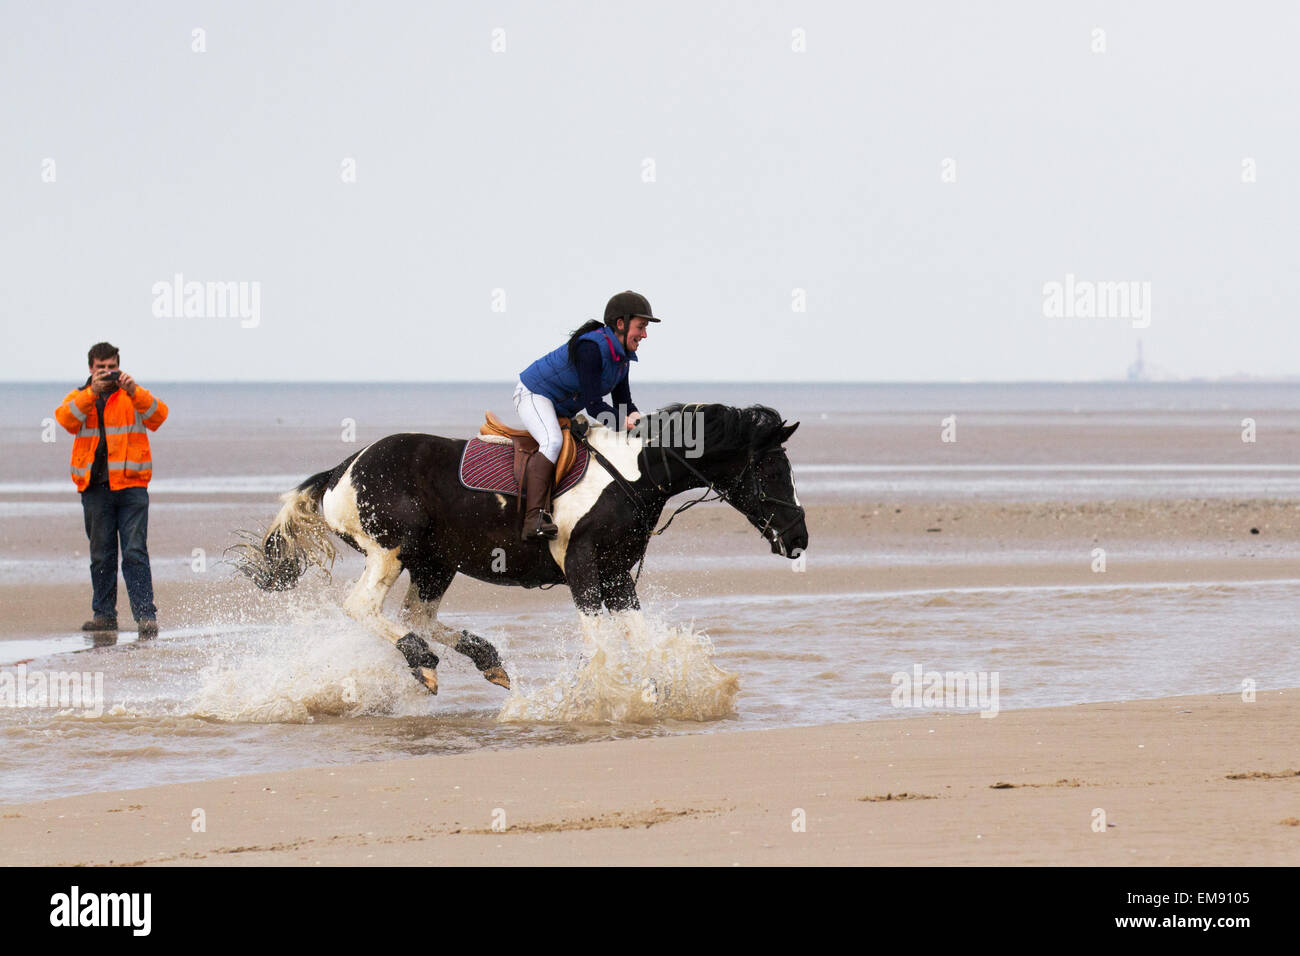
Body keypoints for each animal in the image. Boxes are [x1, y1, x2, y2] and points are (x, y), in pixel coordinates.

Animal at [233, 402, 808, 695]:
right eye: (772, 468)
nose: (799, 539)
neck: (633, 475)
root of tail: (341, 470)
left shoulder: (618, 574)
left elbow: (642, 635)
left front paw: (662, 686)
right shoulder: (584, 568)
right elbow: (601, 640)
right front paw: (603, 694)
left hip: (435, 563)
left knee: (417, 614)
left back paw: (484, 658)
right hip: (391, 551)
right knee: (365, 607)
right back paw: (423, 662)